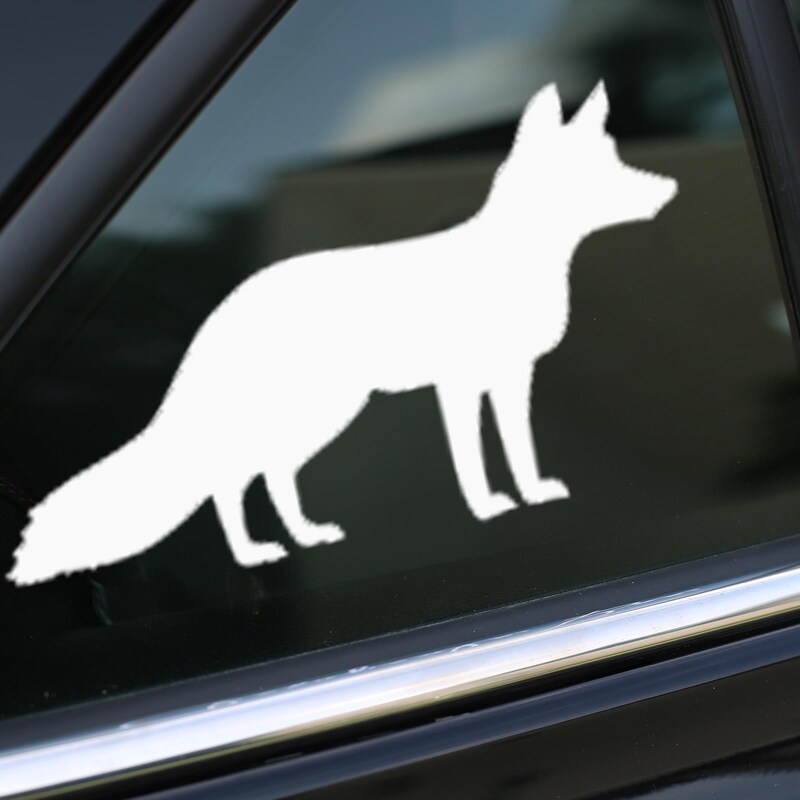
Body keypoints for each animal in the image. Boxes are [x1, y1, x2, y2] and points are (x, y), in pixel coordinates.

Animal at [7, 80, 677, 586]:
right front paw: (489, 506)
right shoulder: (460, 384)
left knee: (268, 474)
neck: (518, 255)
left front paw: (531, 495)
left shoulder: (512, 377)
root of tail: (227, 304)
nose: (670, 189)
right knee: (231, 478)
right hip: (313, 413)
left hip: (321, 415)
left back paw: (300, 537)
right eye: (607, 166)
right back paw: (255, 552)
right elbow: (472, 457)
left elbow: (517, 447)